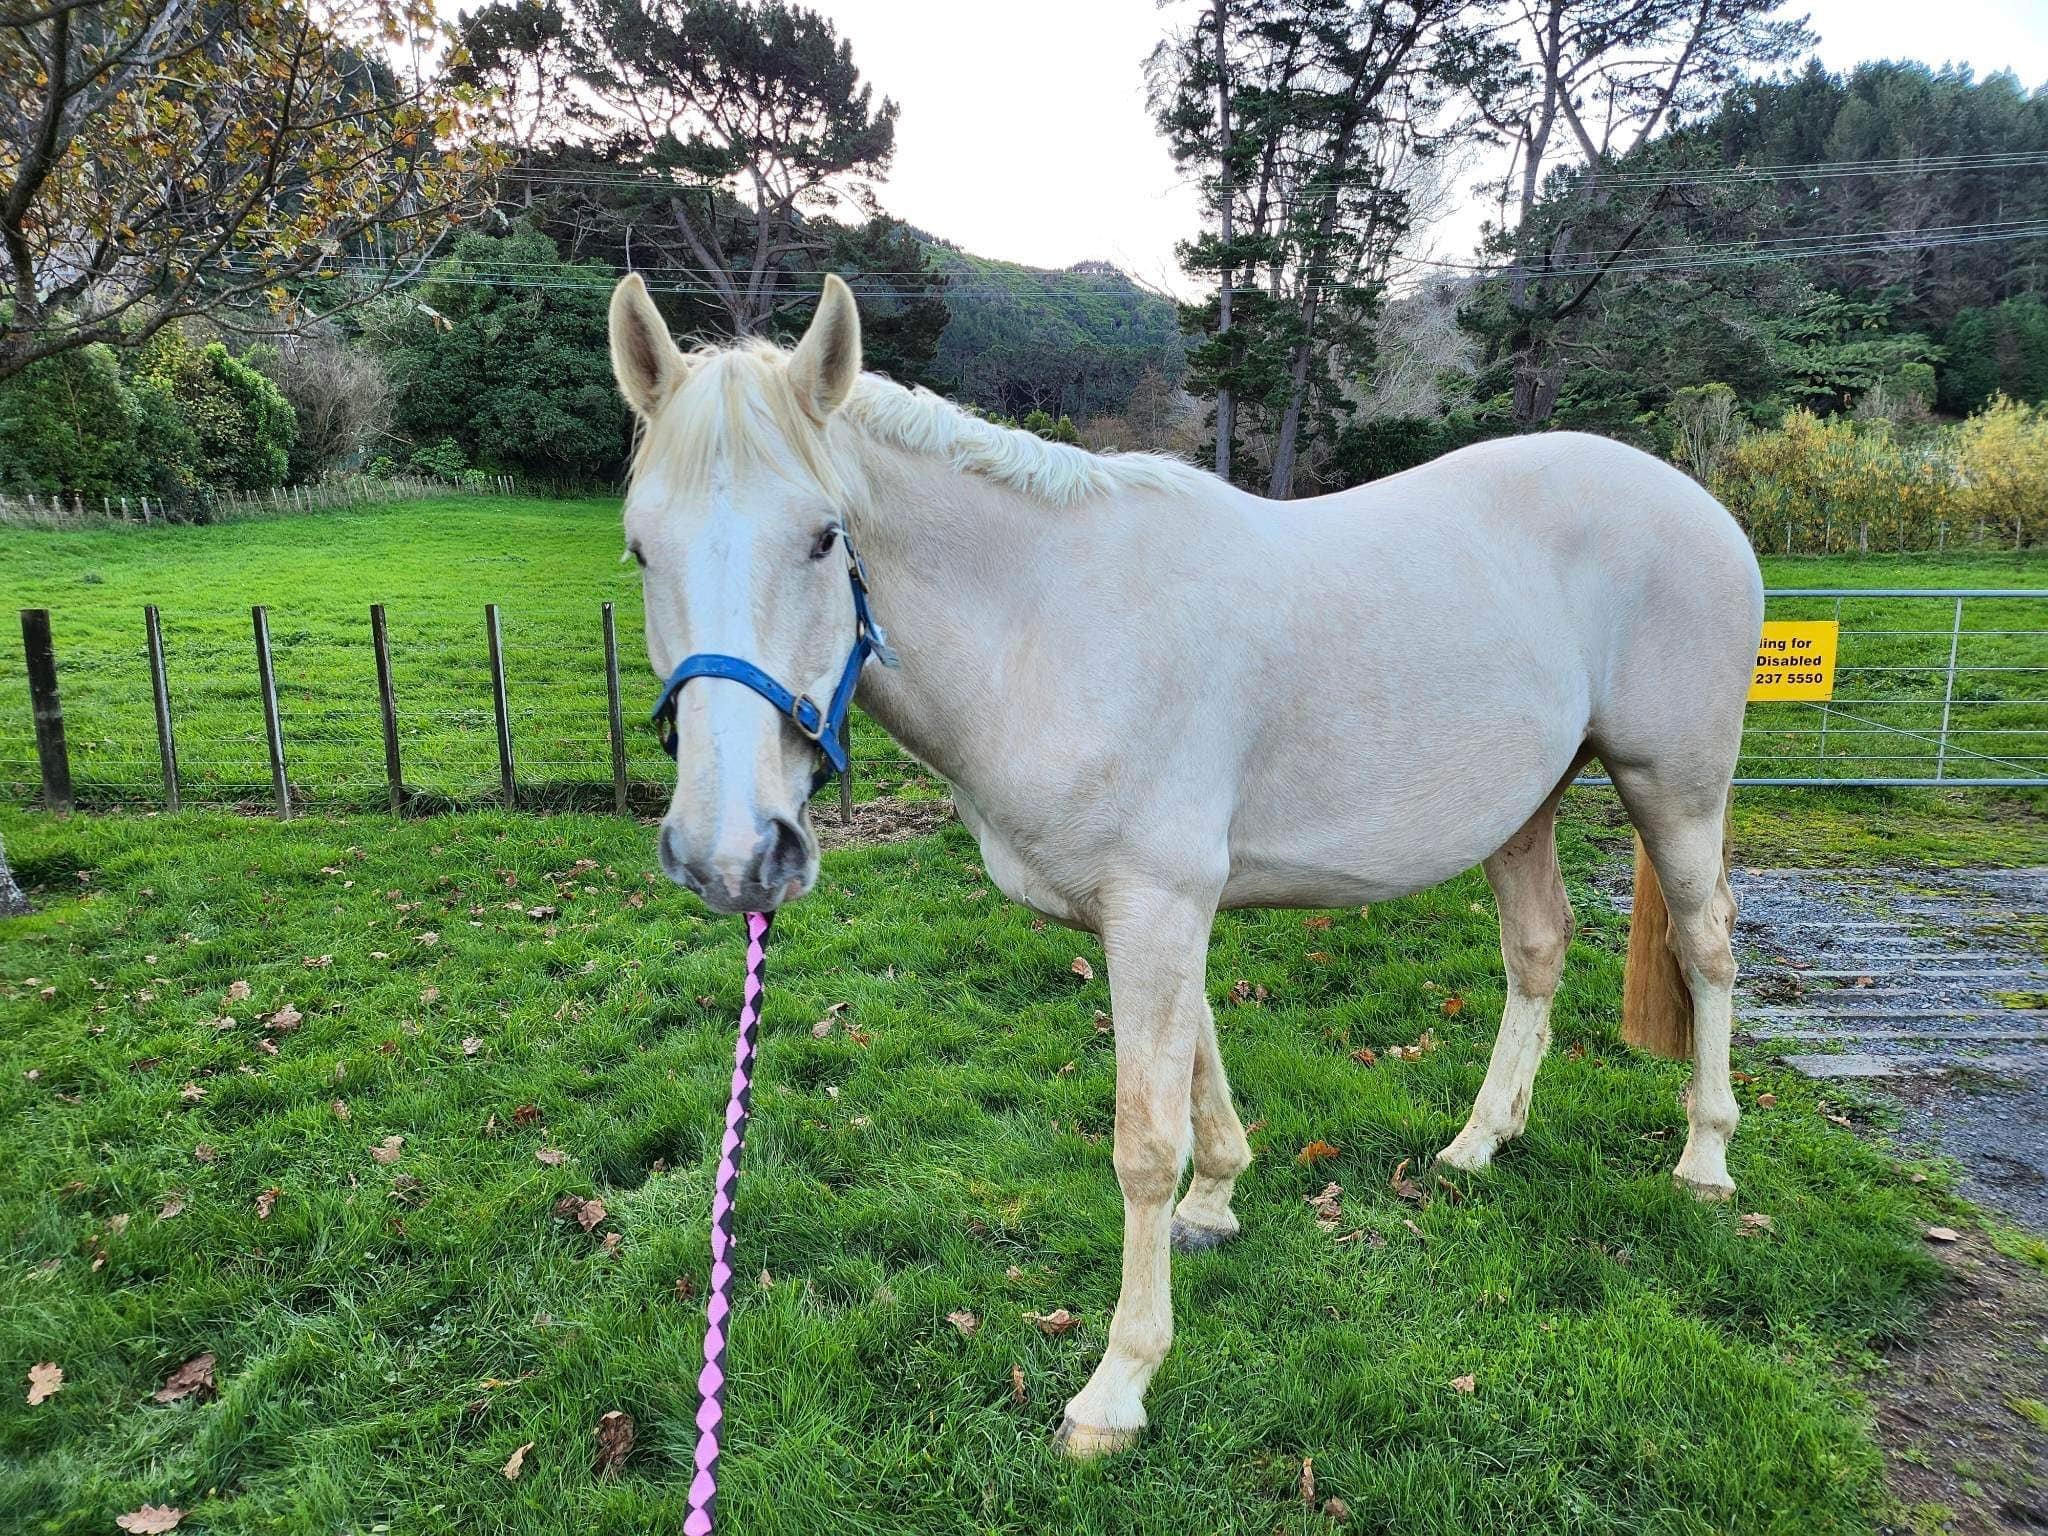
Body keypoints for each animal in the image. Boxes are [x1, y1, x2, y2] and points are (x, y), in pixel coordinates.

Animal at [609, 271, 1763, 1458]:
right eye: (641, 548)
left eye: (822, 537)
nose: (732, 854)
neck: (1046, 624)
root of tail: (1700, 504)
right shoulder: (1153, 912)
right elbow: (1200, 1062)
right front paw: (1215, 1203)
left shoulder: (1157, 905)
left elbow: (1140, 1144)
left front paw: (1117, 1386)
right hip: (1524, 809)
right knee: (1537, 951)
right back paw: (1480, 1142)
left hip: (1674, 789)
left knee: (1709, 949)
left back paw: (1705, 1161)